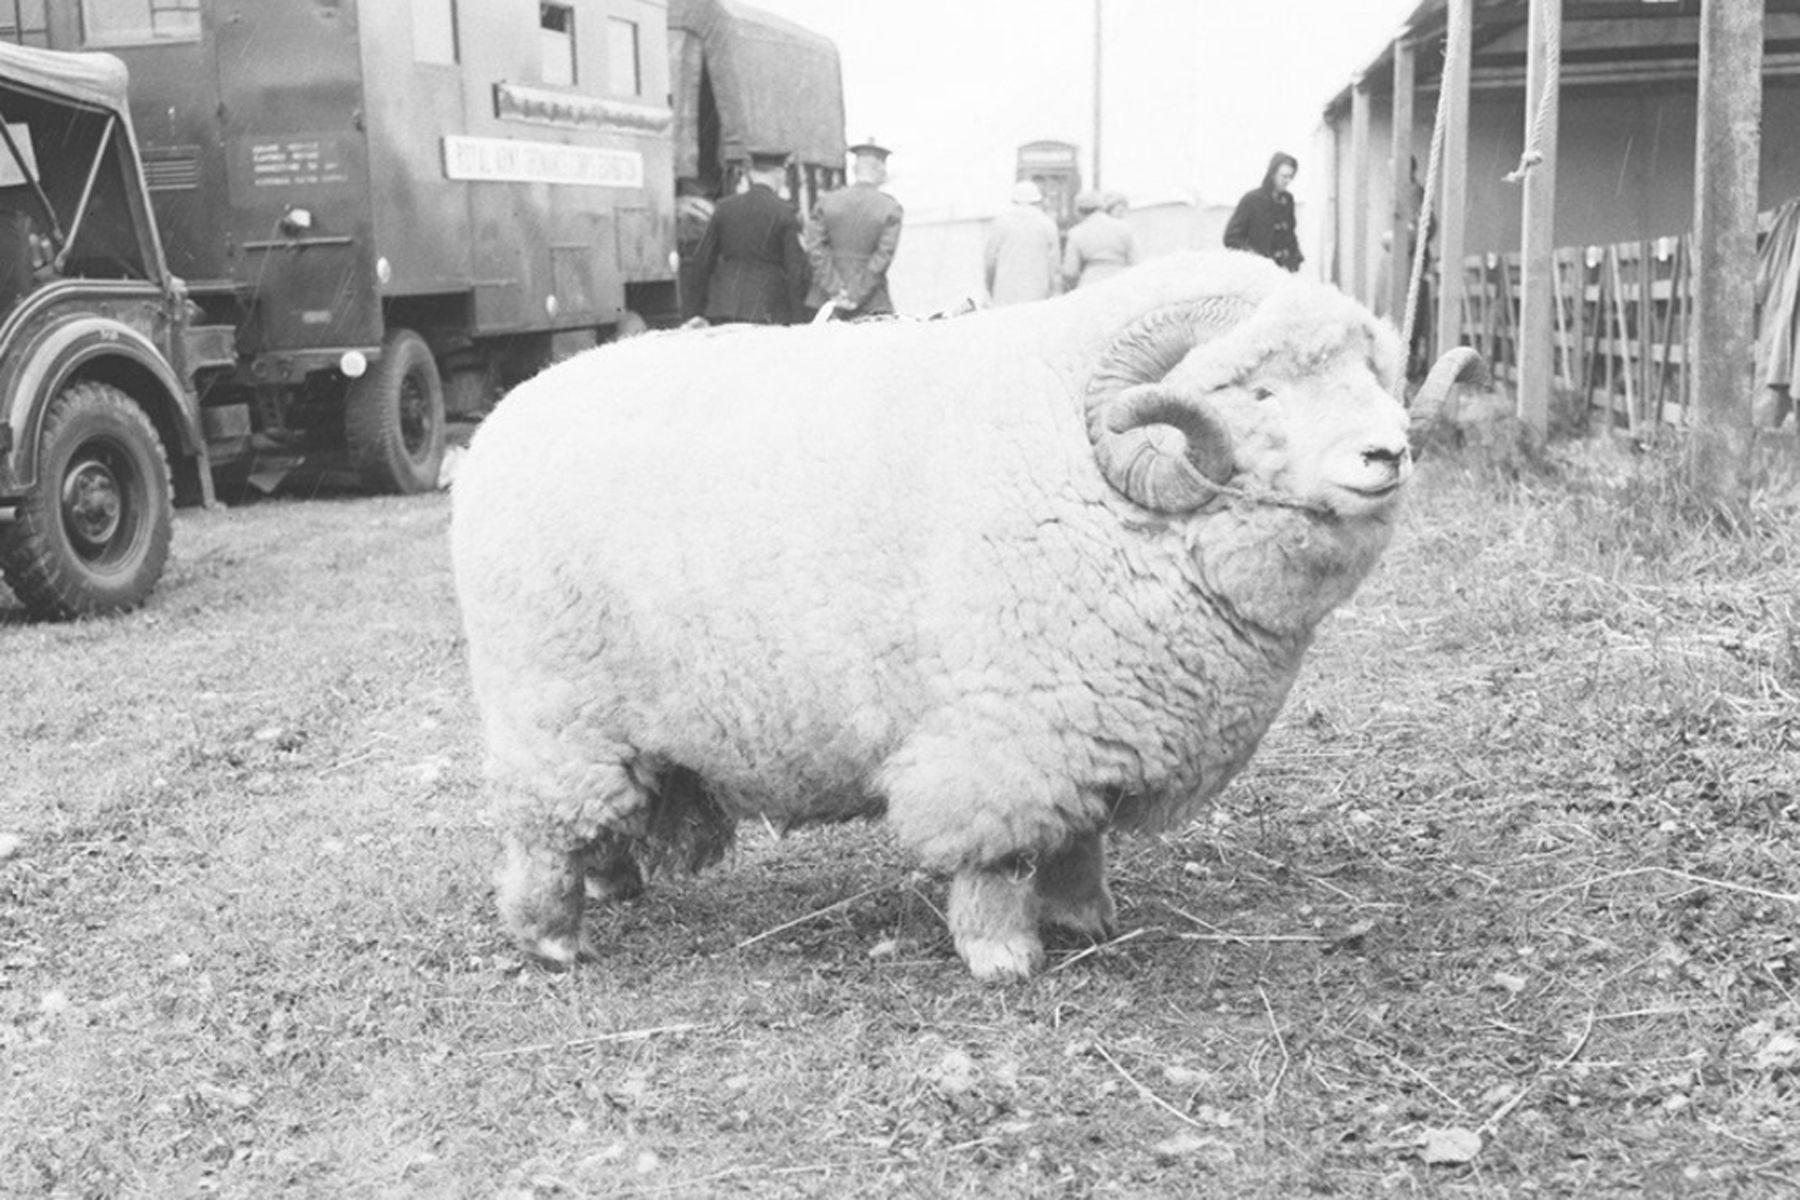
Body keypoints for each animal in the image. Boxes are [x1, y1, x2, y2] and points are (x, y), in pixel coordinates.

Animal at [450, 251, 1473, 980]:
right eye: (1258, 391)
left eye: (1369, 369)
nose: (1388, 452)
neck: (1094, 471)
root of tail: (503, 417)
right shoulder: (1007, 733)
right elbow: (998, 858)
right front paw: (1003, 955)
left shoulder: (1085, 720)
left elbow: (1079, 839)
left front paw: (1084, 918)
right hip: (550, 705)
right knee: (540, 830)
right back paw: (552, 937)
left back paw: (616, 883)